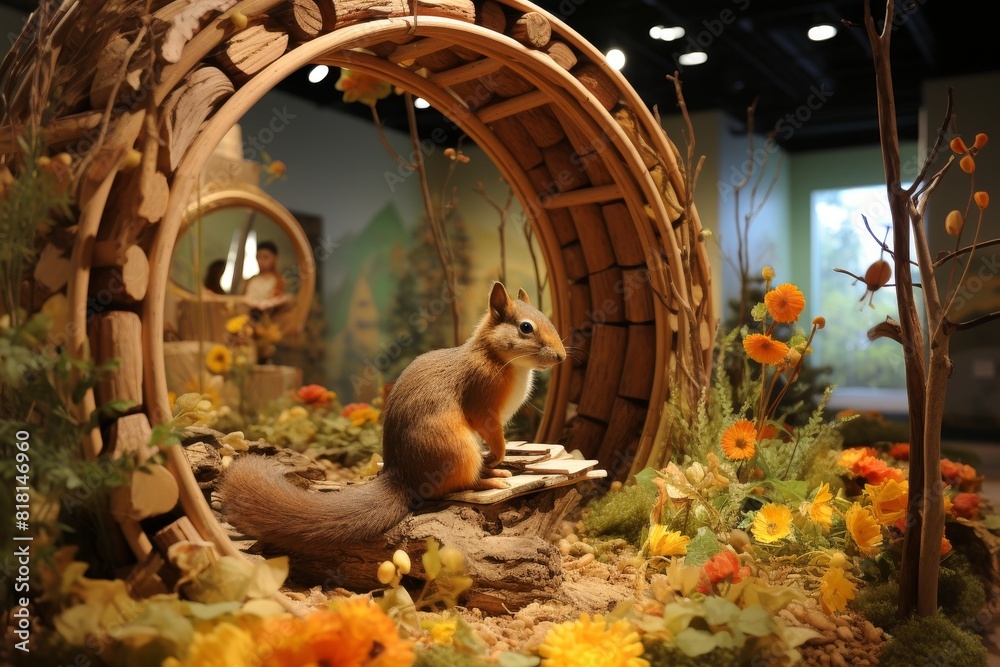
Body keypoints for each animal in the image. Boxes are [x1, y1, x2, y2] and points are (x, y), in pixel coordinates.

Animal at [217, 282, 566, 570]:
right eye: (525, 327)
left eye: (548, 320)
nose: (562, 357)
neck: (498, 357)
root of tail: (401, 477)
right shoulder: (483, 404)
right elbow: (494, 434)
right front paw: (498, 455)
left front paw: (499, 457)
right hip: (459, 449)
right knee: (451, 487)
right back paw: (488, 477)